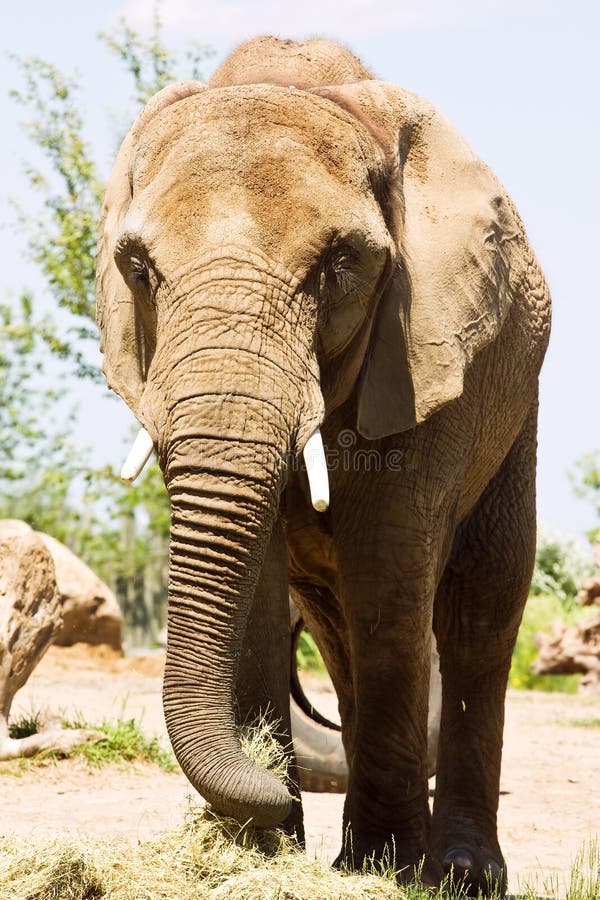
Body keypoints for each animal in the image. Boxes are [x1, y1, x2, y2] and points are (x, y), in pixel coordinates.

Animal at [96, 36, 551, 895]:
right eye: (139, 269)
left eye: (339, 266)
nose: (272, 785)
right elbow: (264, 587)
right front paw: (265, 847)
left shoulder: (423, 345)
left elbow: (389, 564)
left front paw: (384, 864)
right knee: (339, 627)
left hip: (516, 404)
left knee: (477, 607)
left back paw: (460, 871)